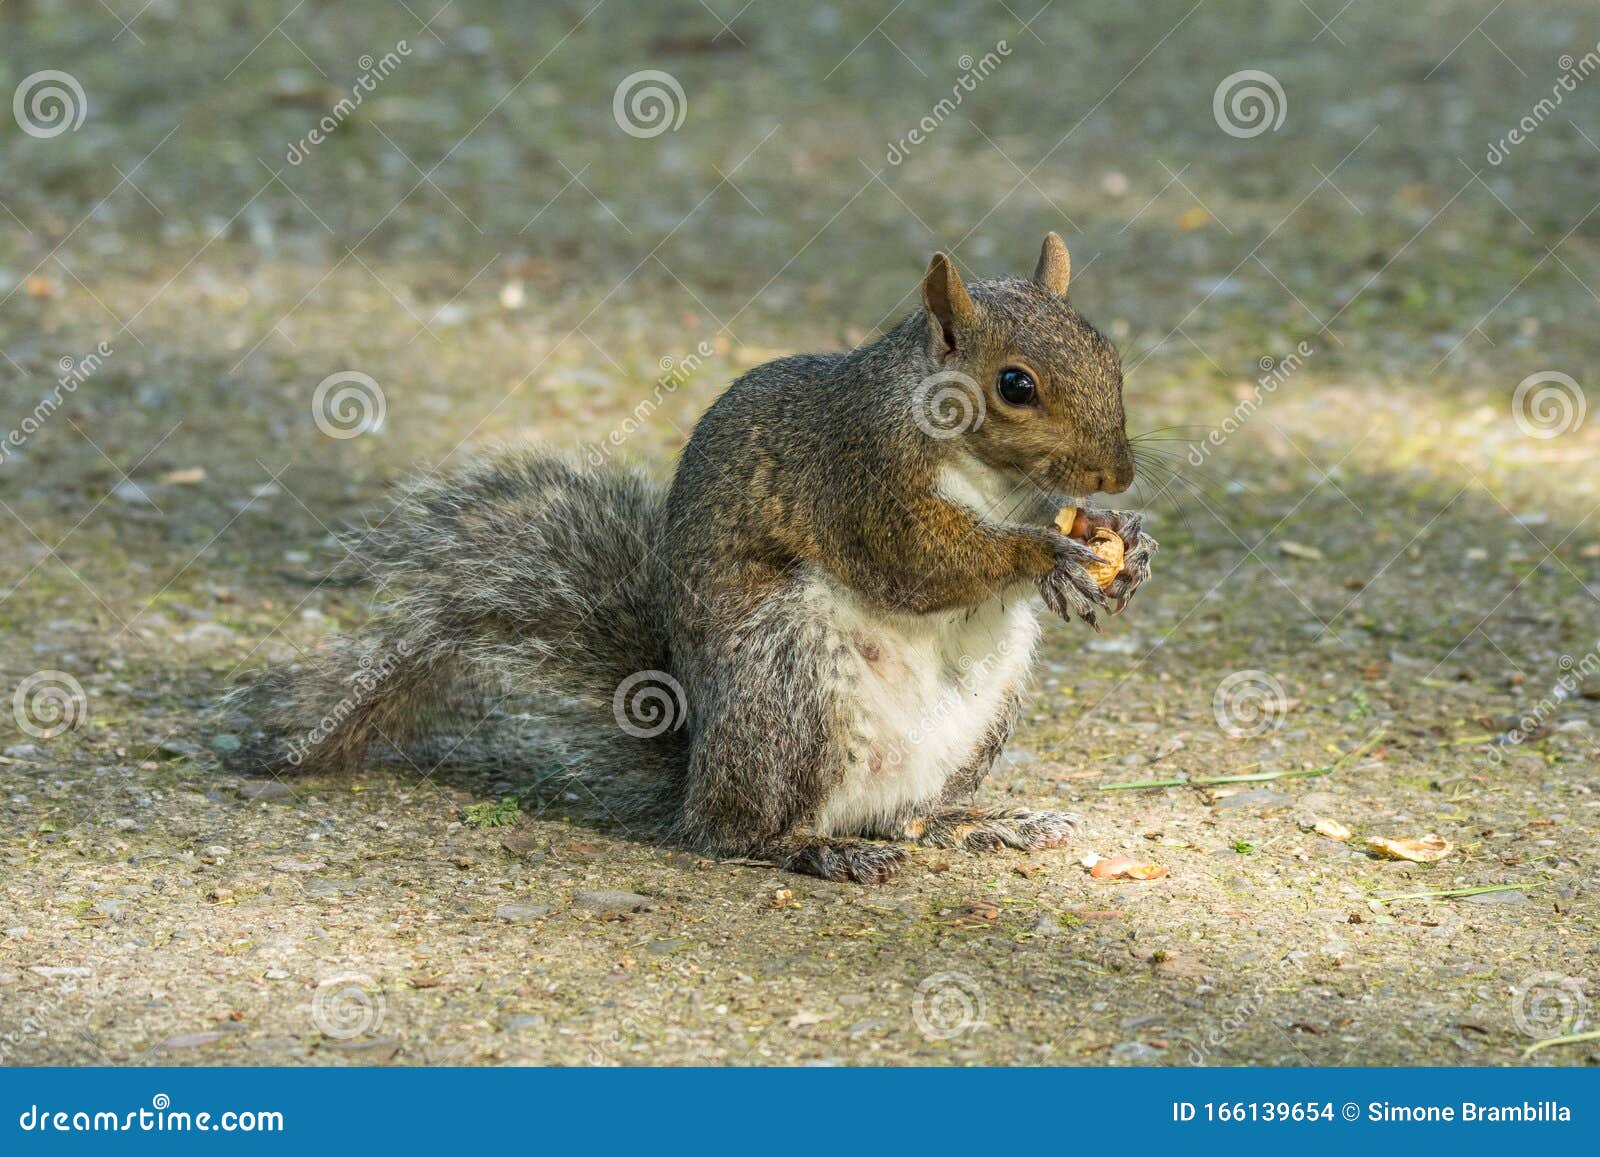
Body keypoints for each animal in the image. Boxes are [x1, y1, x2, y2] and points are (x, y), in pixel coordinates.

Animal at [226, 233, 1157, 884]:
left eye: (1110, 353)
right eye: (1015, 385)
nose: (1118, 471)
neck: (992, 478)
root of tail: (699, 775)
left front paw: (1126, 538)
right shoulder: (860, 475)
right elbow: (920, 561)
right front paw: (1049, 556)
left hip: (976, 722)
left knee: (908, 816)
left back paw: (977, 823)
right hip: (788, 690)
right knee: (743, 834)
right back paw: (813, 850)